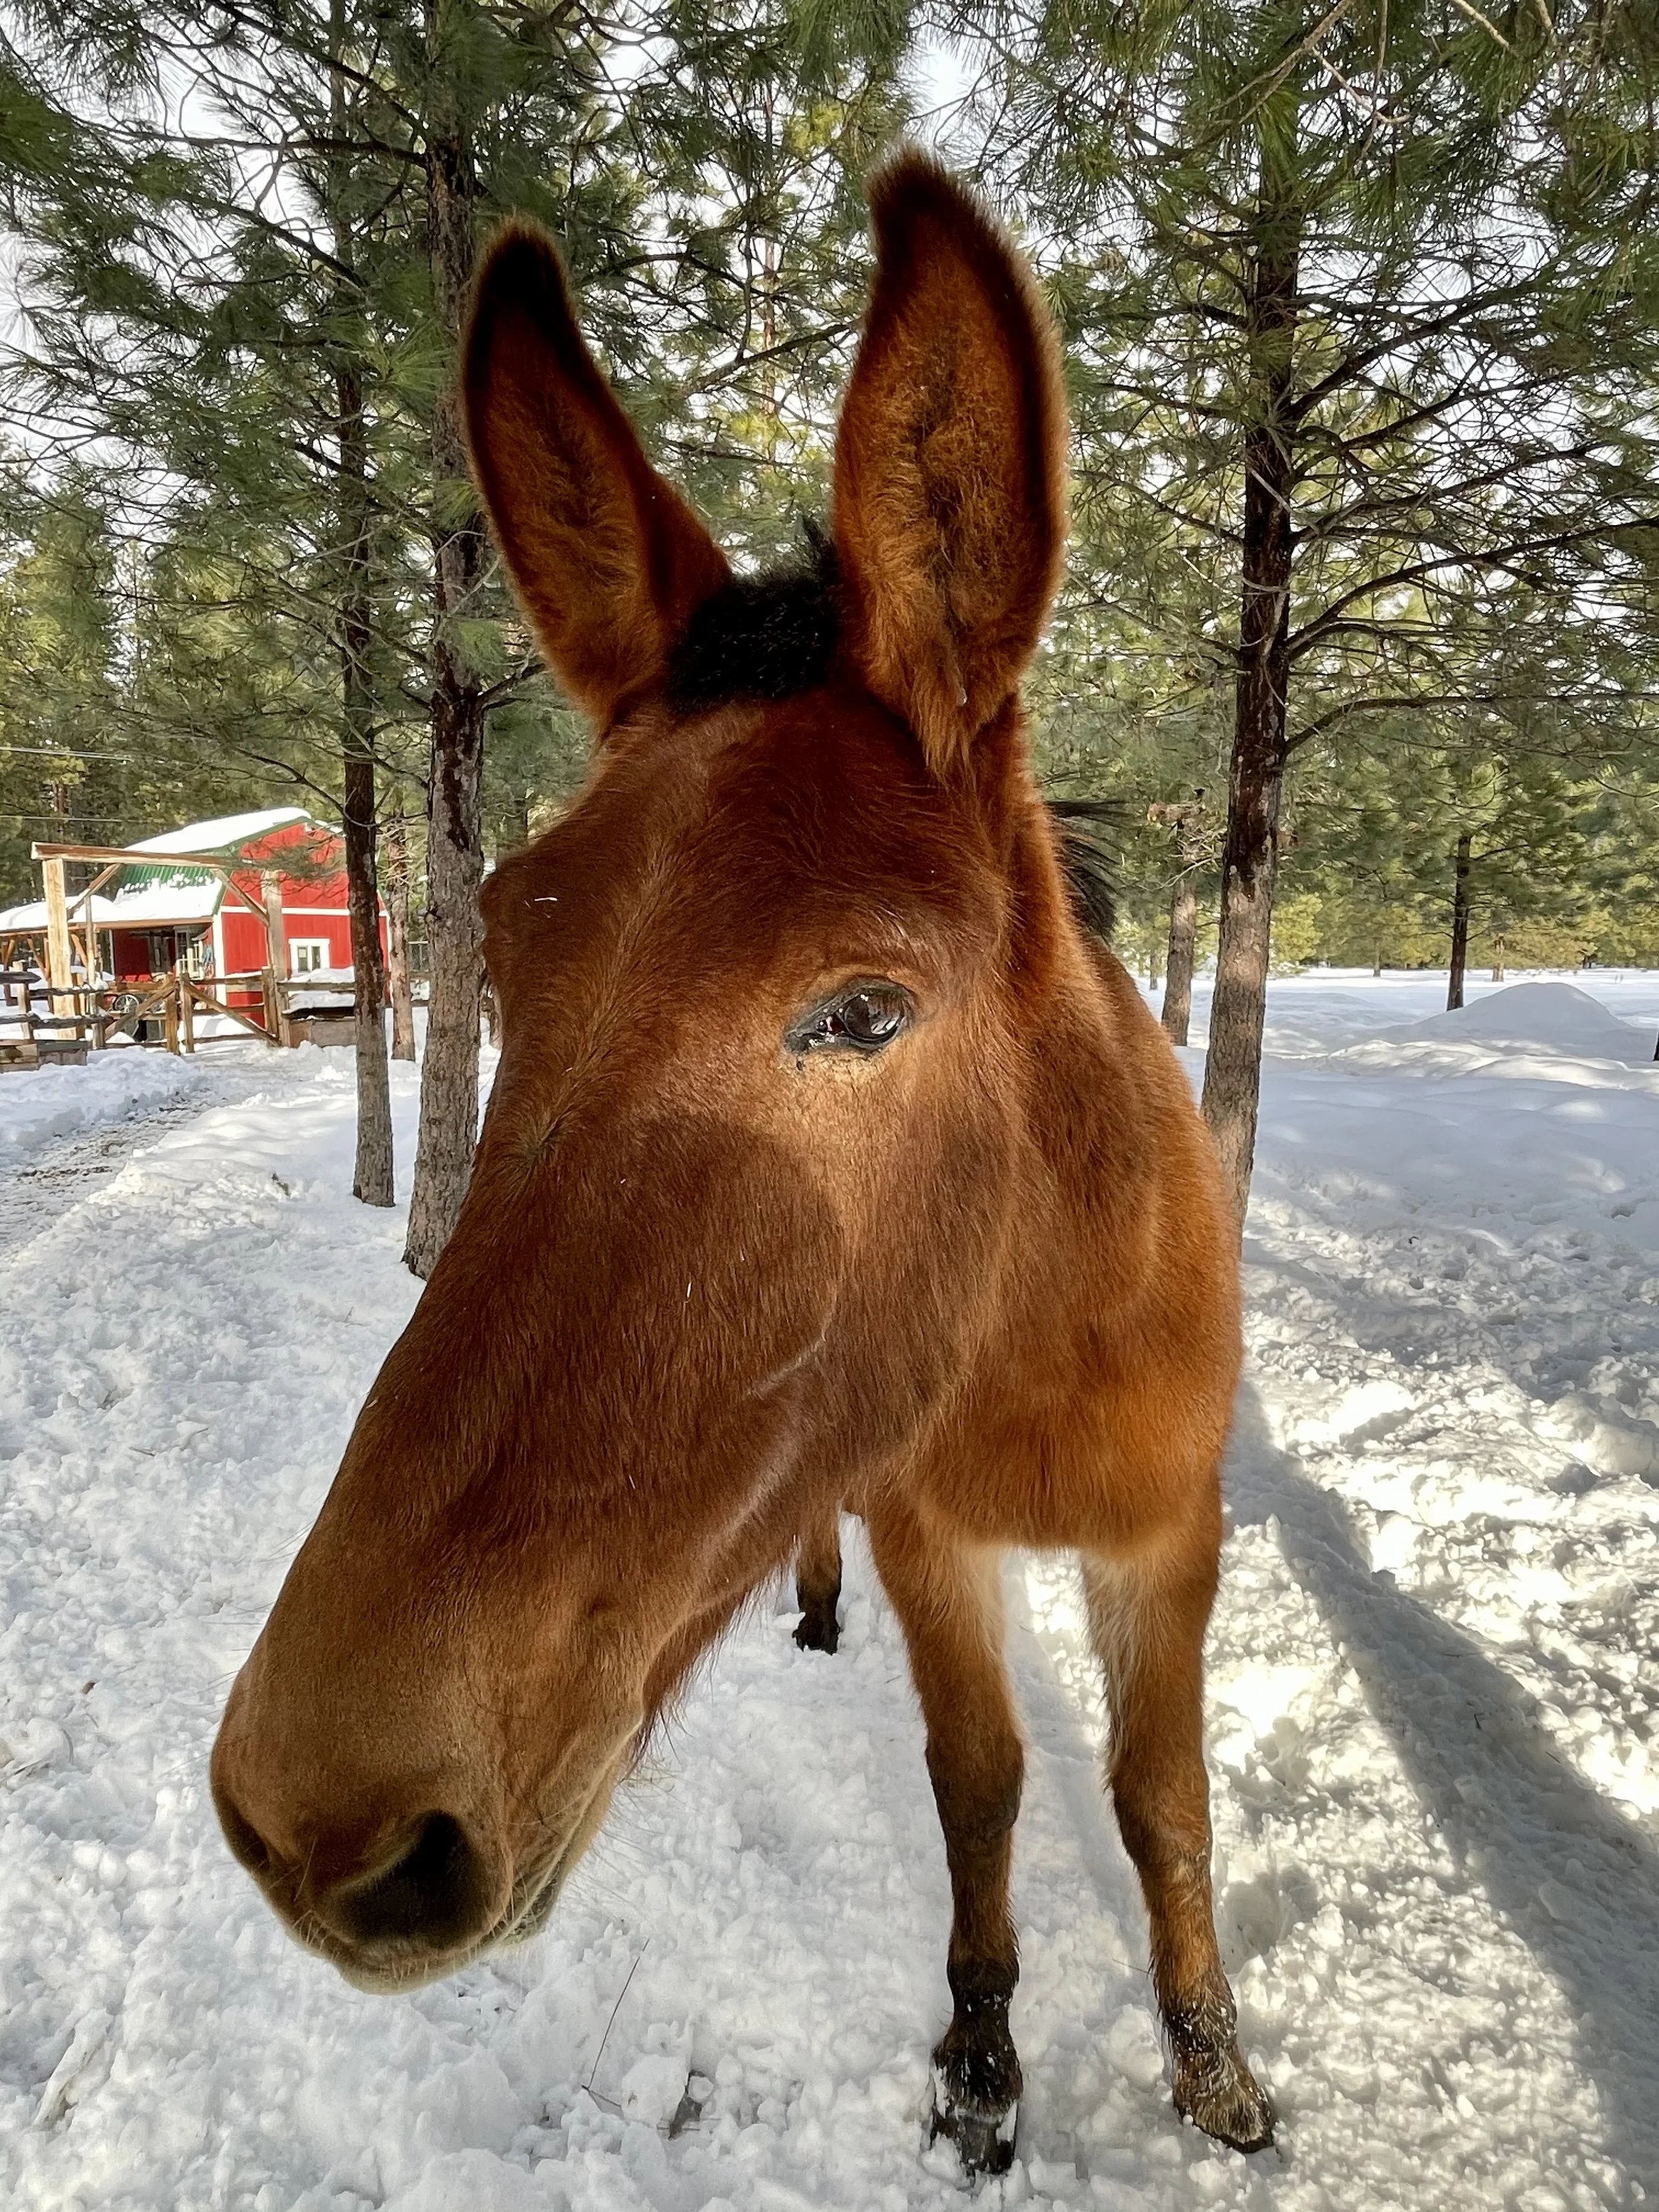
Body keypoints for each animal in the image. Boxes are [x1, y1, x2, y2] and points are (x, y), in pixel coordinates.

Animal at [211, 152, 1274, 2177]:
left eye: (862, 1009)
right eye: (504, 947)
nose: (320, 1818)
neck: (1042, 1343)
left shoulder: (1171, 1533)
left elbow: (1159, 1797)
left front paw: (1212, 2062)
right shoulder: (937, 1527)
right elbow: (981, 1780)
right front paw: (980, 2061)